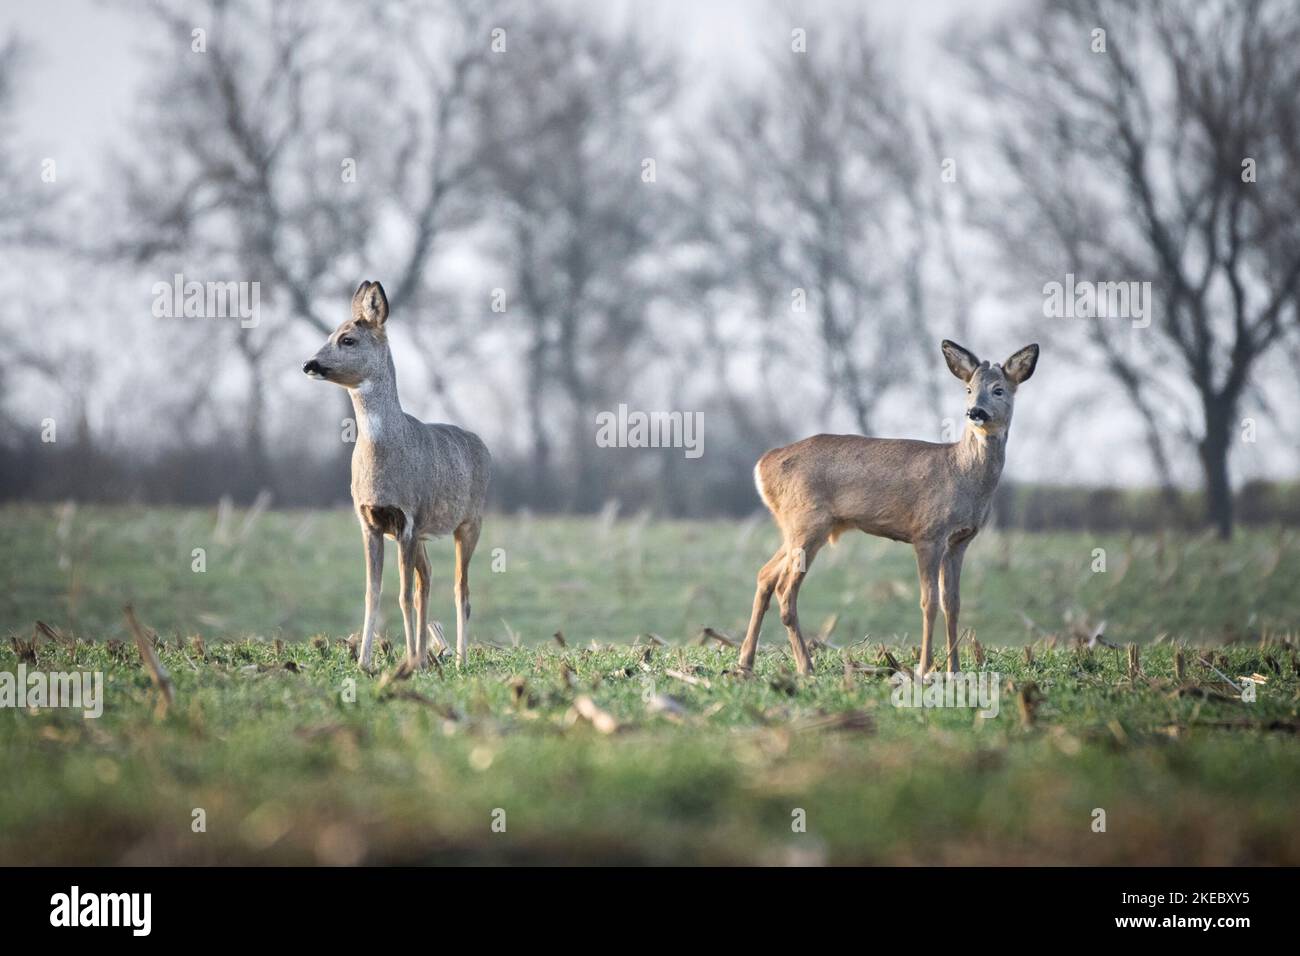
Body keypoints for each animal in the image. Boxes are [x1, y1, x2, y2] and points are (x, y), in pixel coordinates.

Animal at [303, 280, 491, 672]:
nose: (309, 363)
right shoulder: (370, 521)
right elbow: (373, 592)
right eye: (329, 335)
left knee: (460, 589)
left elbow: (402, 595)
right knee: (427, 579)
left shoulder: (406, 518)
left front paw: (406, 662)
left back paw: (459, 659)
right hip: (424, 534)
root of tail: (482, 444)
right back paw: (426, 656)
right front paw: (365, 662)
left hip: (470, 521)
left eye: (347, 339)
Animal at [737, 340, 1039, 678]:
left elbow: (953, 602)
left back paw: (746, 662)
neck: (961, 473)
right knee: (785, 590)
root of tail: (763, 464)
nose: (975, 412)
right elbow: (929, 601)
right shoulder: (928, 533)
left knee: (765, 575)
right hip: (807, 521)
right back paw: (805, 666)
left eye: (999, 389)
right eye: (969, 389)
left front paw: (955, 669)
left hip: (798, 527)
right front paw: (924, 668)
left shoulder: (960, 540)